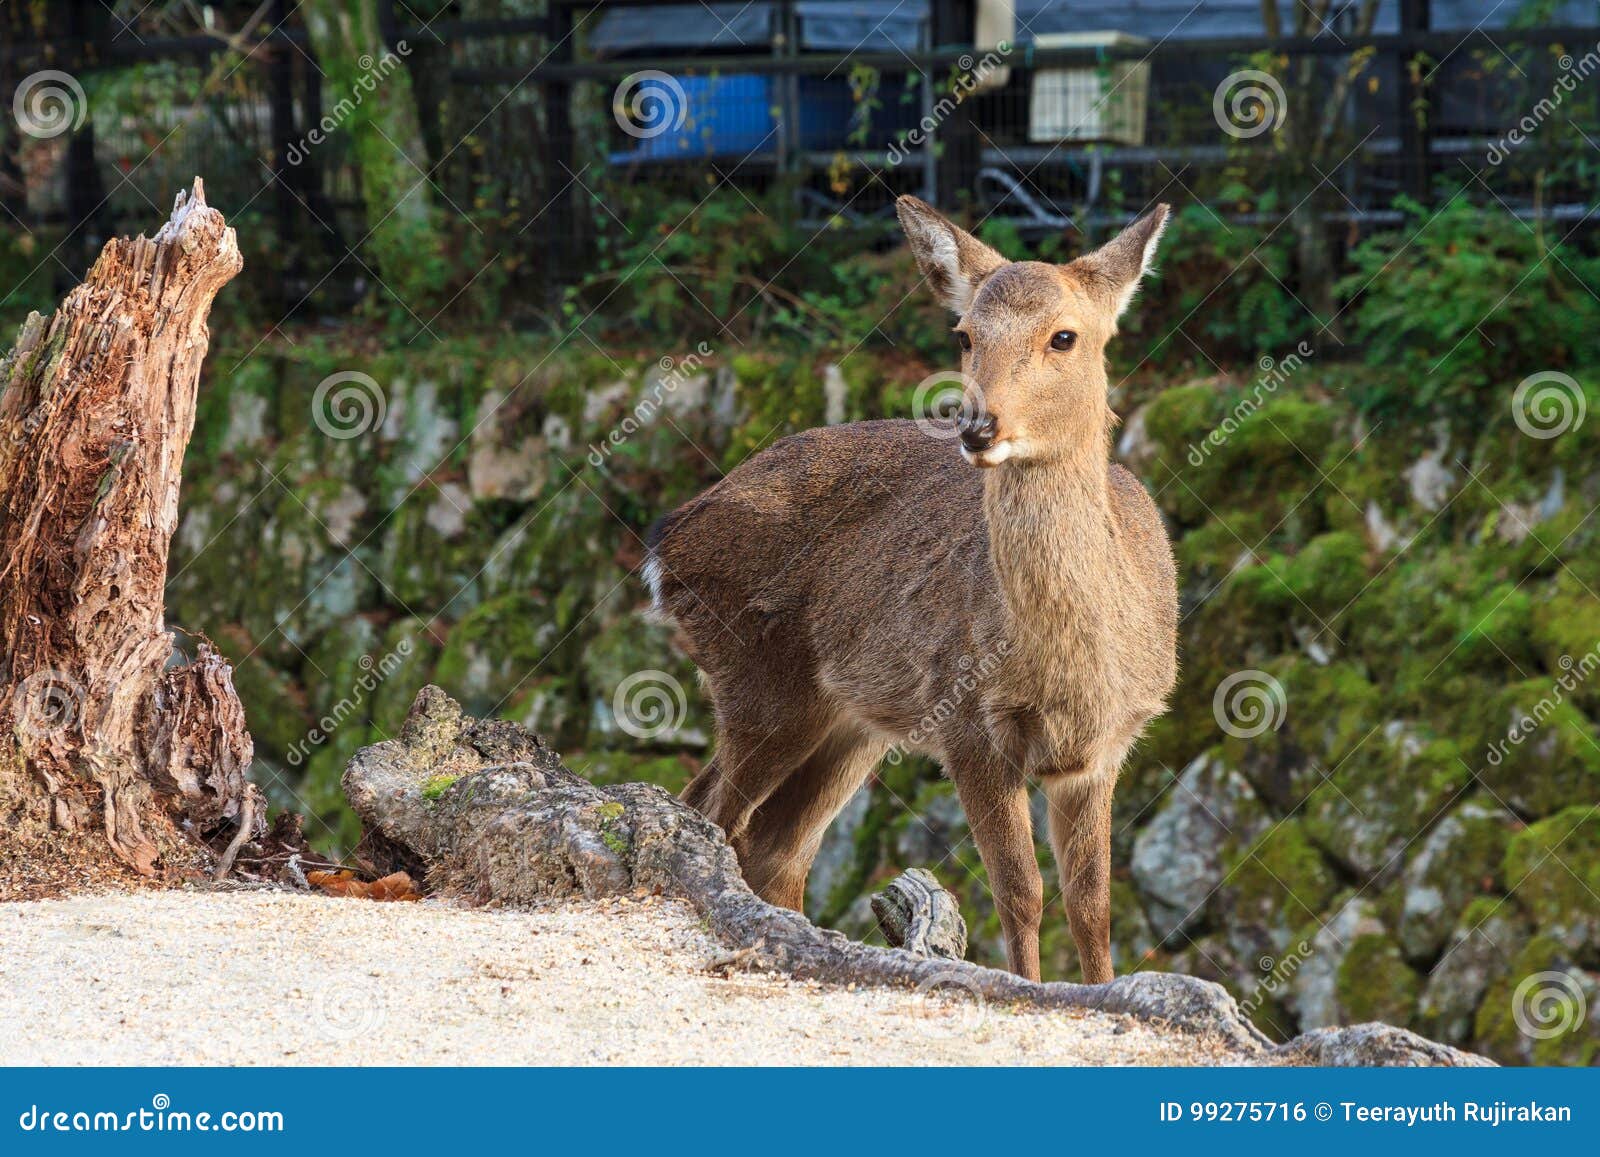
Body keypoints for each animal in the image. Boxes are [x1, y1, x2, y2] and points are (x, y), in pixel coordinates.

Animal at [644, 197, 1178, 984]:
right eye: (964, 334)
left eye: (1065, 336)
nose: (978, 426)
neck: (1071, 668)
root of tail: (665, 543)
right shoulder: (967, 722)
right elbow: (1020, 890)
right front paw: (1024, 985)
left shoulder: (1104, 748)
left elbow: (1092, 905)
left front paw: (1103, 990)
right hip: (757, 675)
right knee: (710, 811)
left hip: (851, 722)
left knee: (772, 843)